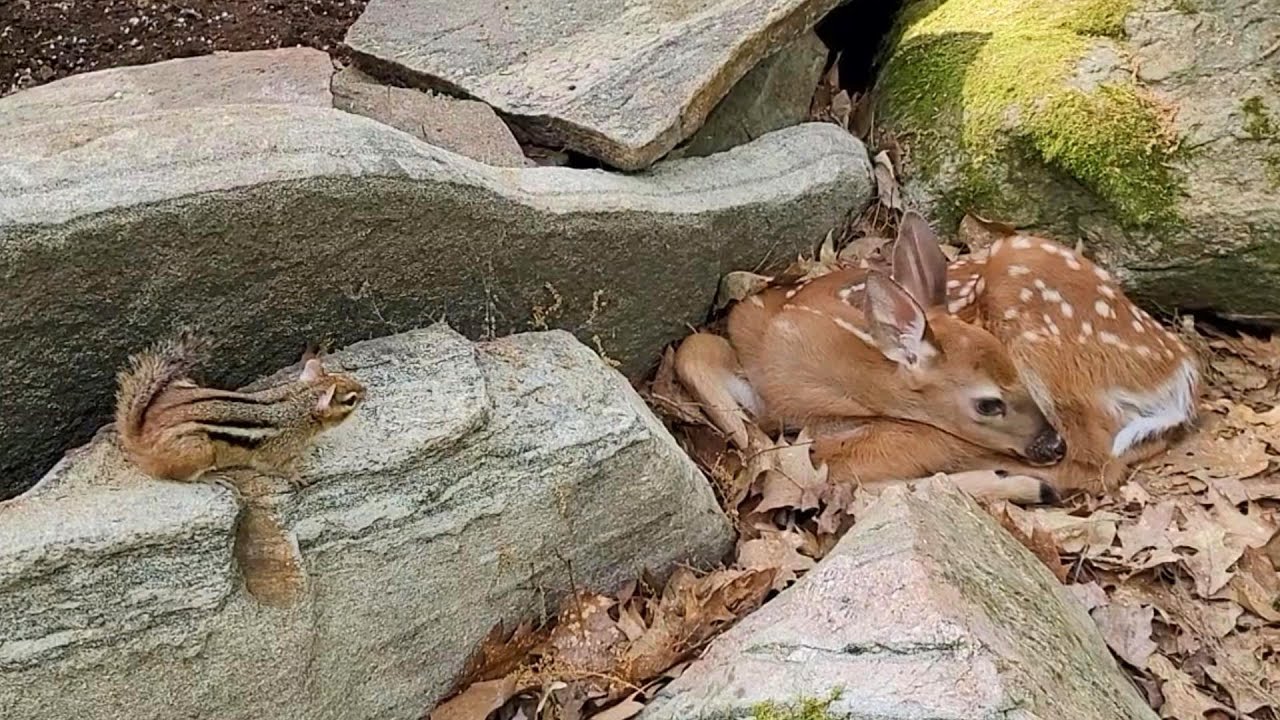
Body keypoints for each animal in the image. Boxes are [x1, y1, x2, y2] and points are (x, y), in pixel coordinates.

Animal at [114, 331, 366, 485]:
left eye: (342, 375)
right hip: (199, 450)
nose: (365, 389)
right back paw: (213, 478)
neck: (297, 403)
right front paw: (295, 476)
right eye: (351, 400)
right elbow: (273, 467)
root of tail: (141, 436)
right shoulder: (274, 451)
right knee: (182, 477)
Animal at [674, 211, 1200, 504]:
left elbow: (835, 462)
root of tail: (1181, 369)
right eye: (988, 403)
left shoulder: (918, 432)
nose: (1049, 444)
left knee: (1095, 463)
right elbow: (691, 353)